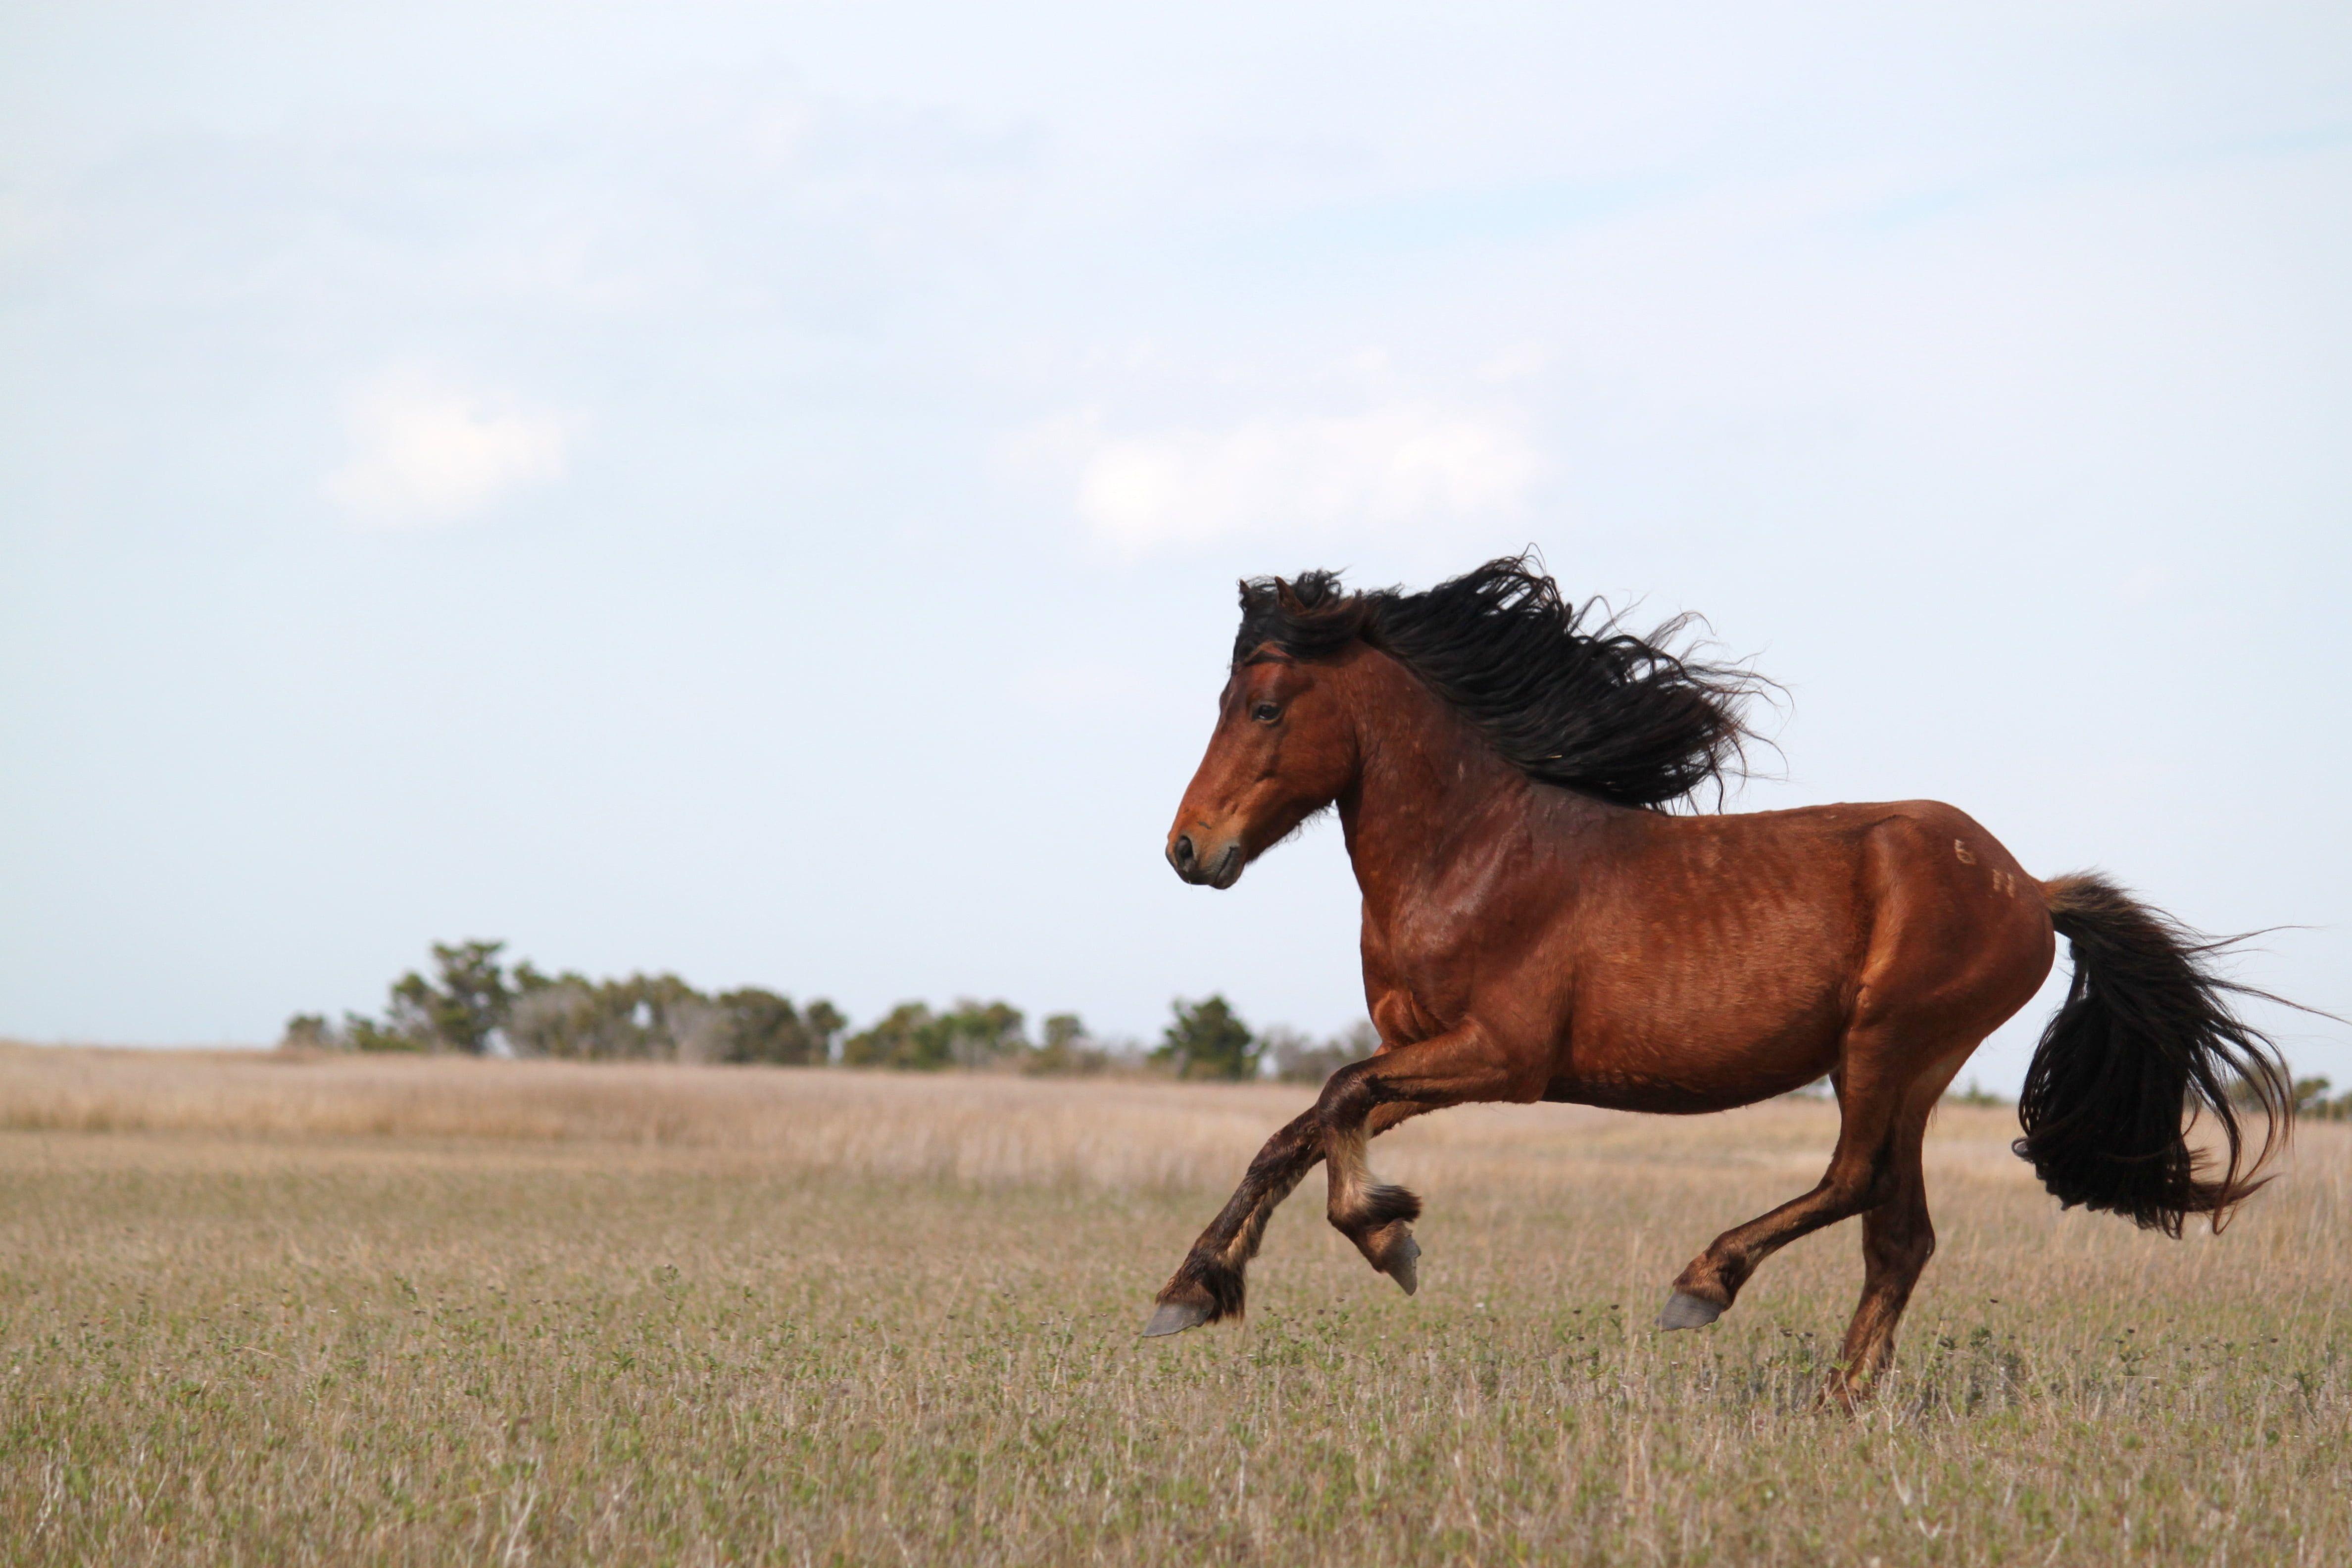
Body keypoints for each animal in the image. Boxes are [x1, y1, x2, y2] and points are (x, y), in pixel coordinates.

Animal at [1143, 554, 2294, 1404]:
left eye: (1264, 707)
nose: (1188, 850)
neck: (1474, 853)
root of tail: (2029, 887)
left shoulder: (1501, 1058)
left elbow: (1335, 1099)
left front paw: (1389, 1236)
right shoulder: (1419, 1052)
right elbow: (1299, 1130)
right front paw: (1195, 1288)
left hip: (1887, 1047)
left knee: (1856, 1186)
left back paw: (1704, 1287)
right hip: (1910, 1072)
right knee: (1899, 1236)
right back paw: (1836, 1403)